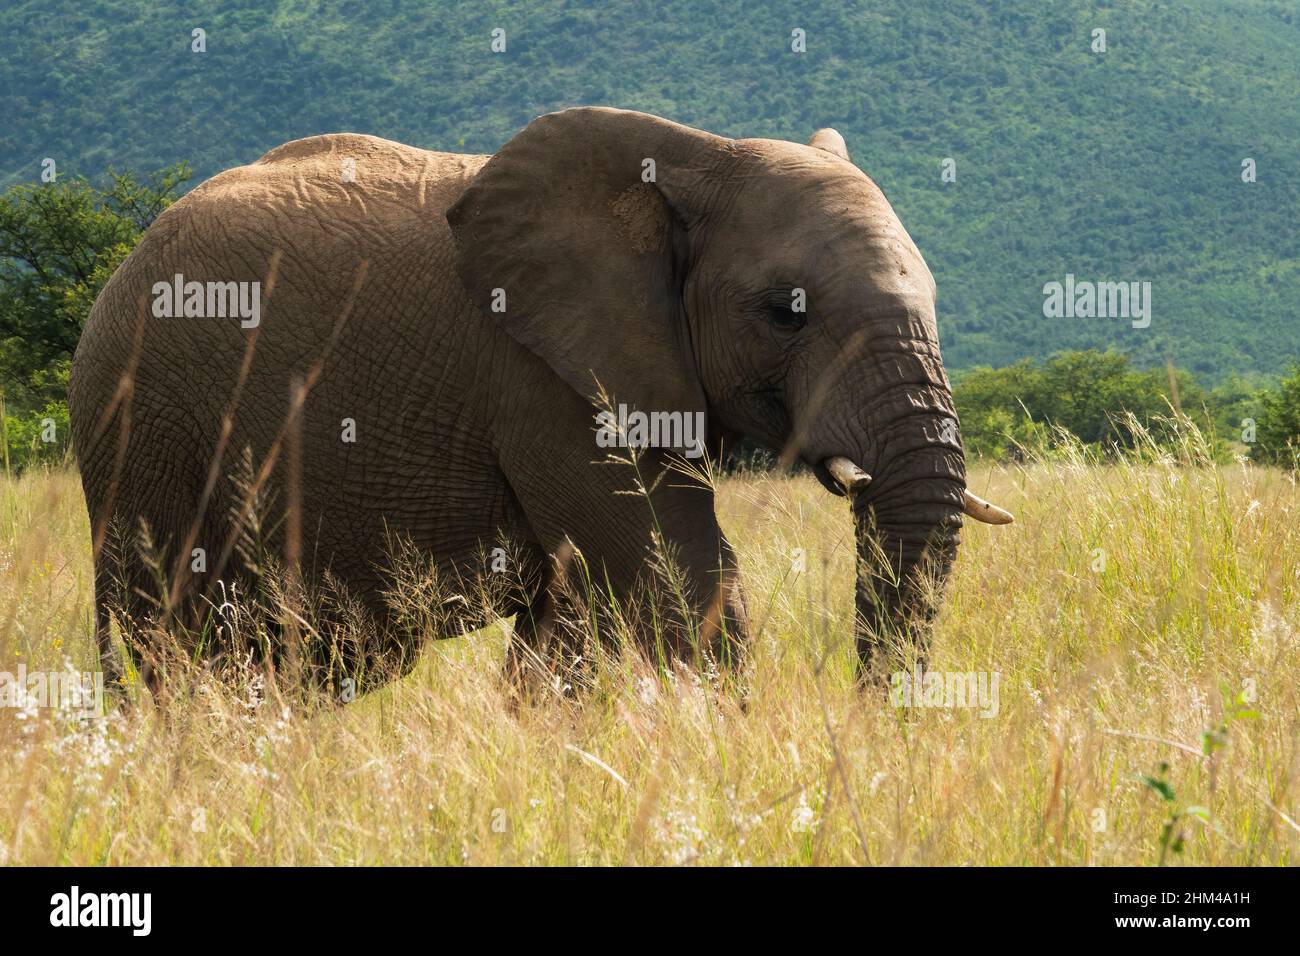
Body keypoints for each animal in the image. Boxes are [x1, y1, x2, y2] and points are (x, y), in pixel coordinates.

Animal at [68, 107, 1012, 698]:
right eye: (787, 311)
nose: (864, 721)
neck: (695, 155)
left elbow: (573, 619)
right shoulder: (543, 381)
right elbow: (675, 576)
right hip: (142, 419)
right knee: (169, 630)